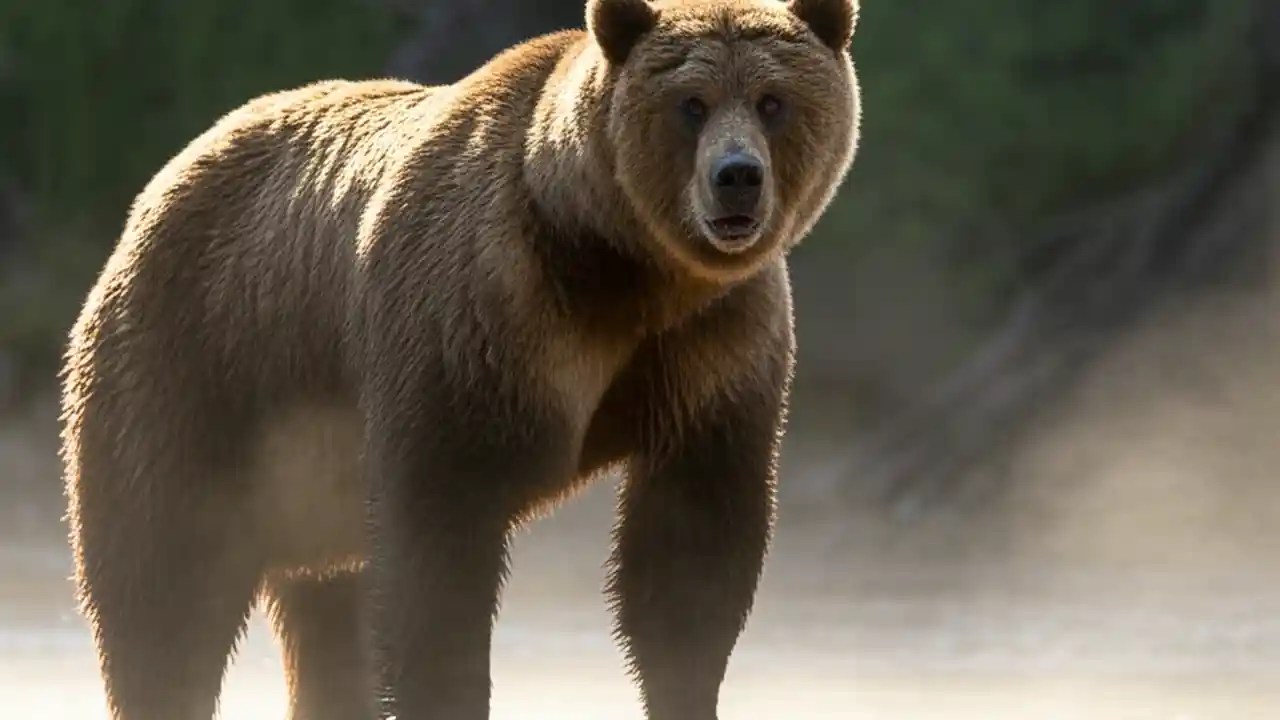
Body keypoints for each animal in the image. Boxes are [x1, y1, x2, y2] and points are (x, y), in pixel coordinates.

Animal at [58, 0, 860, 718]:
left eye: (772, 101)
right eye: (690, 104)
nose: (737, 176)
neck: (622, 269)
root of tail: (165, 182)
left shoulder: (712, 349)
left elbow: (692, 555)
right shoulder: (474, 321)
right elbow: (436, 555)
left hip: (306, 466)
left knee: (321, 609)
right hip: (198, 368)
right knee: (163, 587)